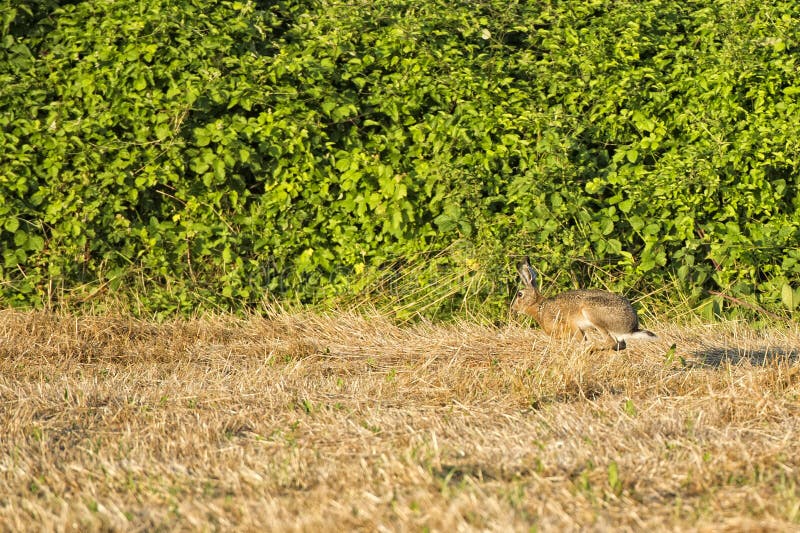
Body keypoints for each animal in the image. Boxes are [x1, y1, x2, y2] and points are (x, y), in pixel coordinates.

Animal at [512, 256, 656, 351]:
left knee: (611, 343)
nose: (513, 308)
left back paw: (590, 350)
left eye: (520, 294)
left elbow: (581, 339)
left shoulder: (572, 326)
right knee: (620, 345)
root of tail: (631, 328)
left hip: (593, 313)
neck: (540, 307)